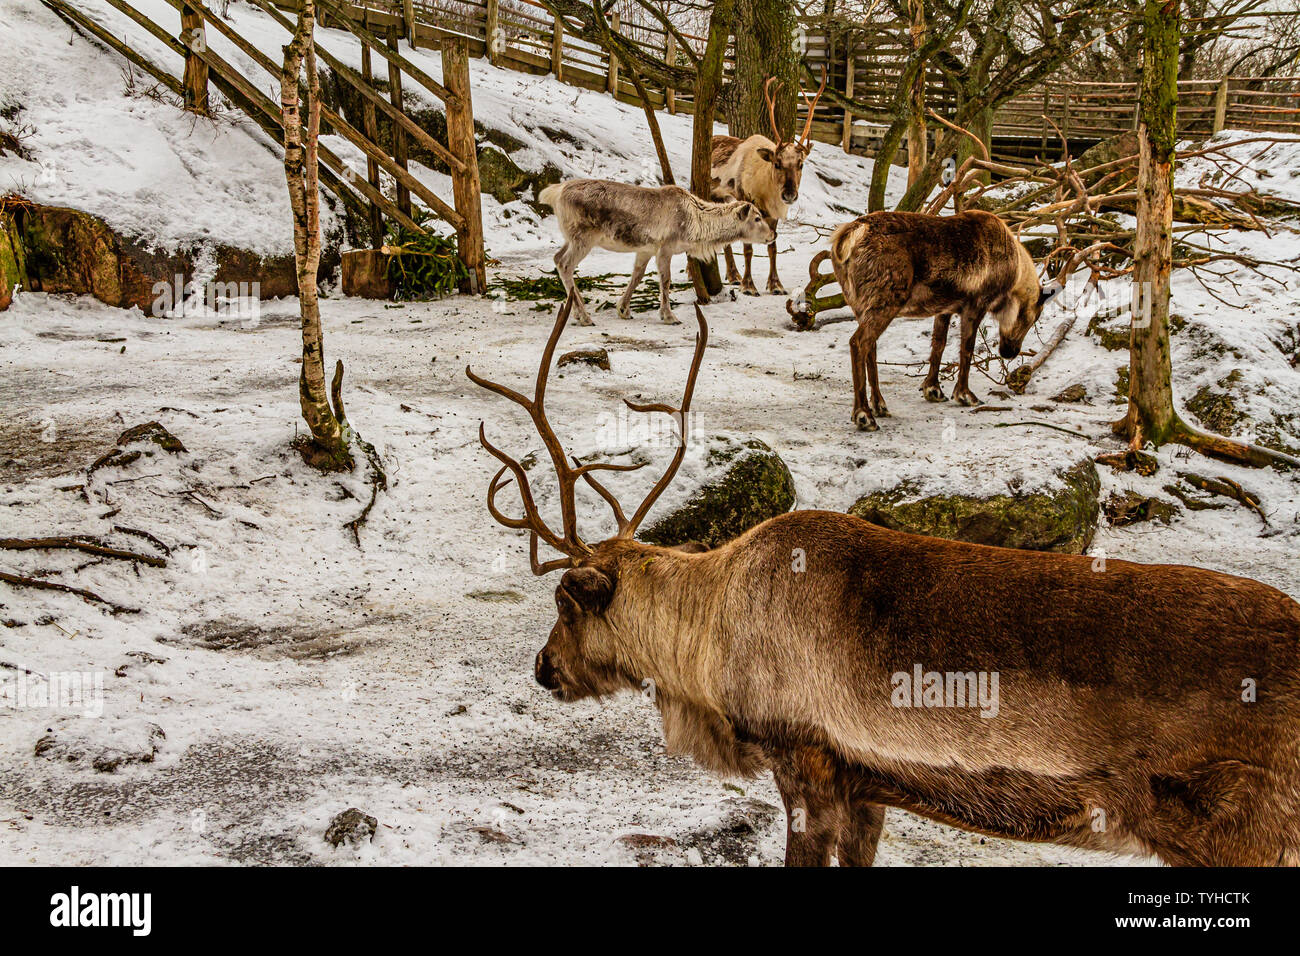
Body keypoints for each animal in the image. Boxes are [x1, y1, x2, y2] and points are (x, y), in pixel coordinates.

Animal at [466, 294, 1300, 868]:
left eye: (565, 603)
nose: (543, 668)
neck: (707, 640)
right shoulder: (867, 785)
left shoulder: (804, 763)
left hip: (1243, 833)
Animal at [539, 179, 774, 327]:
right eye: (757, 218)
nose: (773, 234)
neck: (695, 225)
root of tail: (554, 193)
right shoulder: (665, 248)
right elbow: (666, 280)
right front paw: (669, 316)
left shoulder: (645, 250)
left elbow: (637, 276)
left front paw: (623, 310)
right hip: (584, 237)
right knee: (565, 264)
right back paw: (584, 317)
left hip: (571, 237)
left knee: (557, 258)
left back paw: (577, 313)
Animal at [710, 71, 826, 297]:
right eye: (777, 163)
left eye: (800, 164)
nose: (789, 195)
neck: (766, 191)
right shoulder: (746, 202)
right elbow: (748, 247)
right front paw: (749, 286)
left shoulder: (773, 214)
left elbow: (773, 247)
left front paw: (776, 285)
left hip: (725, 200)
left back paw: (733, 275)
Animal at [827, 209, 1085, 432]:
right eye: (1032, 317)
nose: (1010, 352)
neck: (1015, 274)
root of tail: (849, 235)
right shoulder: (976, 303)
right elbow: (966, 349)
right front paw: (964, 395)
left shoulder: (944, 308)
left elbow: (938, 346)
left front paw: (933, 390)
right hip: (887, 298)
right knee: (858, 342)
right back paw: (863, 415)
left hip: (860, 304)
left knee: (870, 346)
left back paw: (879, 405)